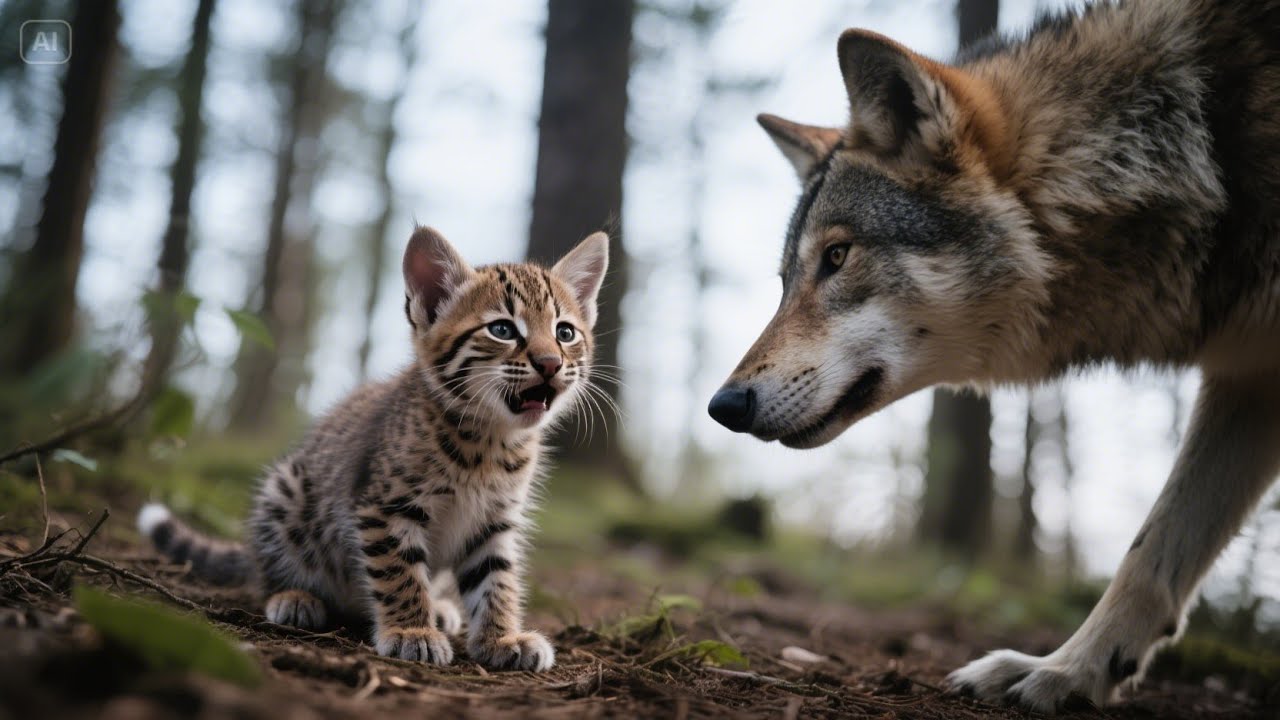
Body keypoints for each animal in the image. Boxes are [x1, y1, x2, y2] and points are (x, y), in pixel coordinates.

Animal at [708, 0, 1280, 712]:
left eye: (837, 256)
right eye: (785, 280)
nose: (723, 404)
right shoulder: (1248, 378)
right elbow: (1151, 552)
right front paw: (1071, 672)